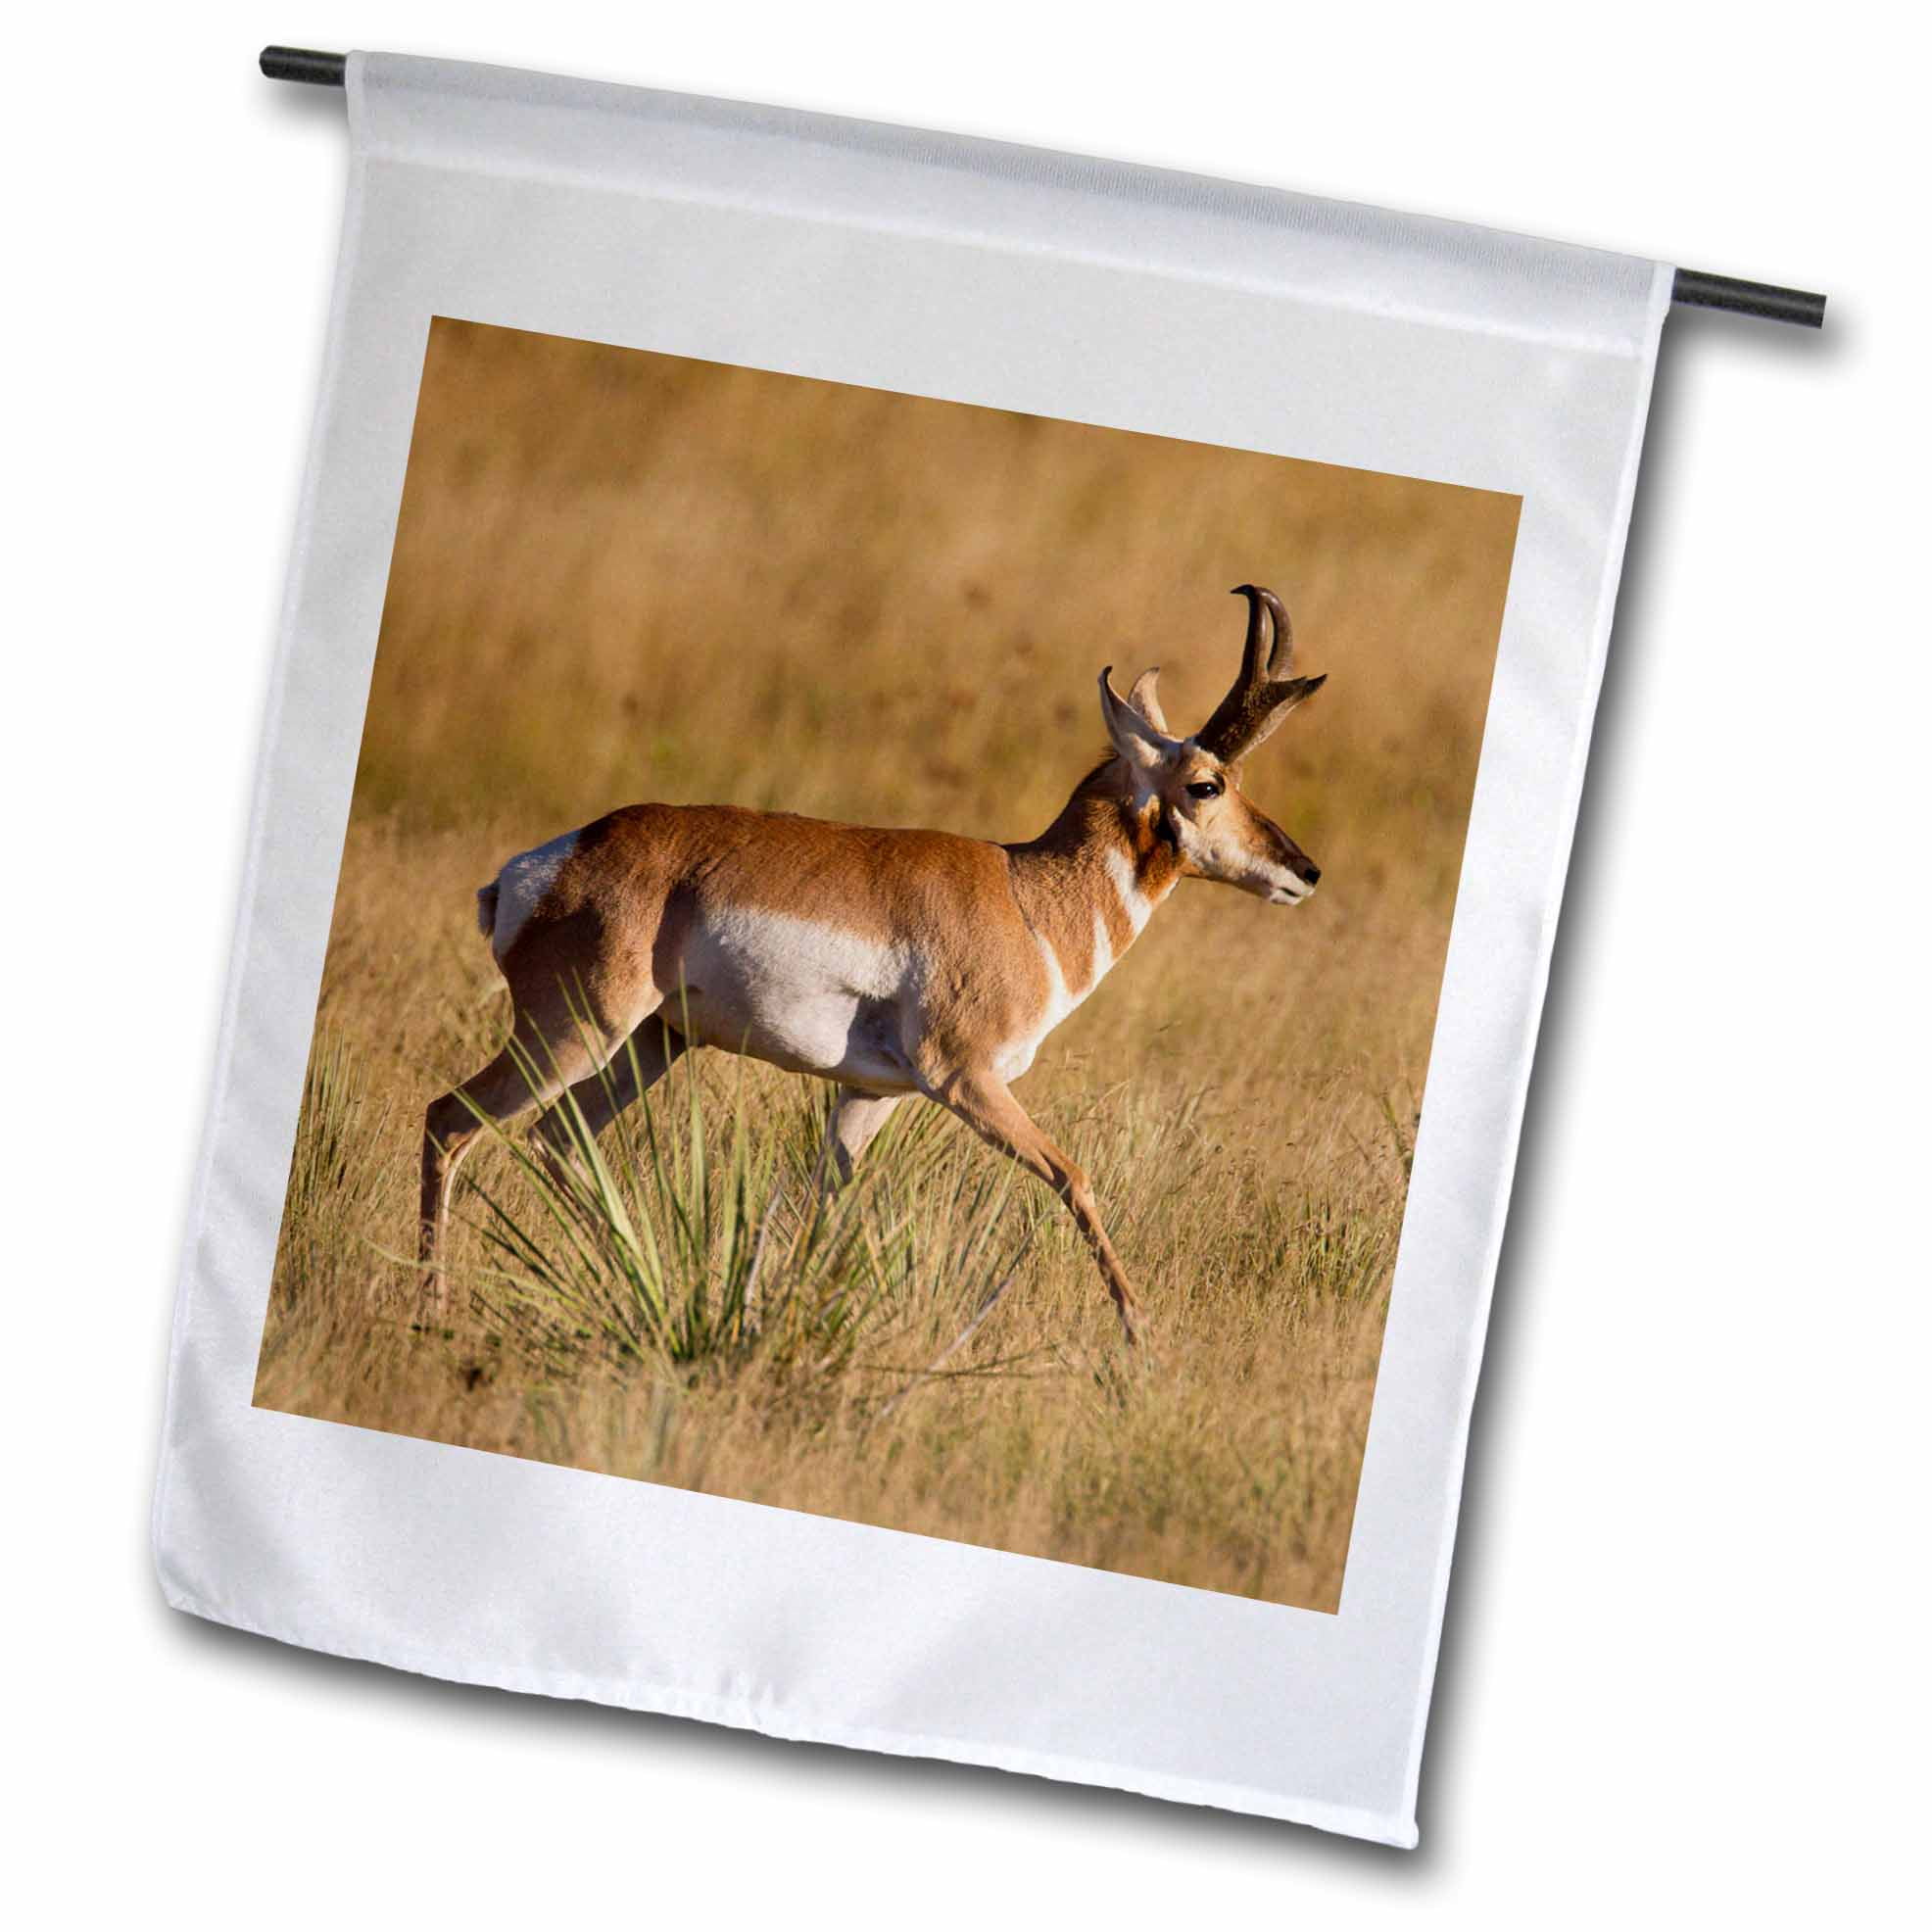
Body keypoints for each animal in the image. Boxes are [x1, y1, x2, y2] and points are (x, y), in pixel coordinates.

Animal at [419, 584, 1325, 1342]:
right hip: (573, 1034)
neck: (1026, 895)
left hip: (650, 1045)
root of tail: (544, 865)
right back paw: (433, 1311)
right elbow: (1074, 1176)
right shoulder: (966, 1082)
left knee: (556, 1143)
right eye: (1207, 784)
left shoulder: (870, 1096)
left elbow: (819, 1206)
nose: (1305, 871)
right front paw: (1139, 1335)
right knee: (449, 1120)